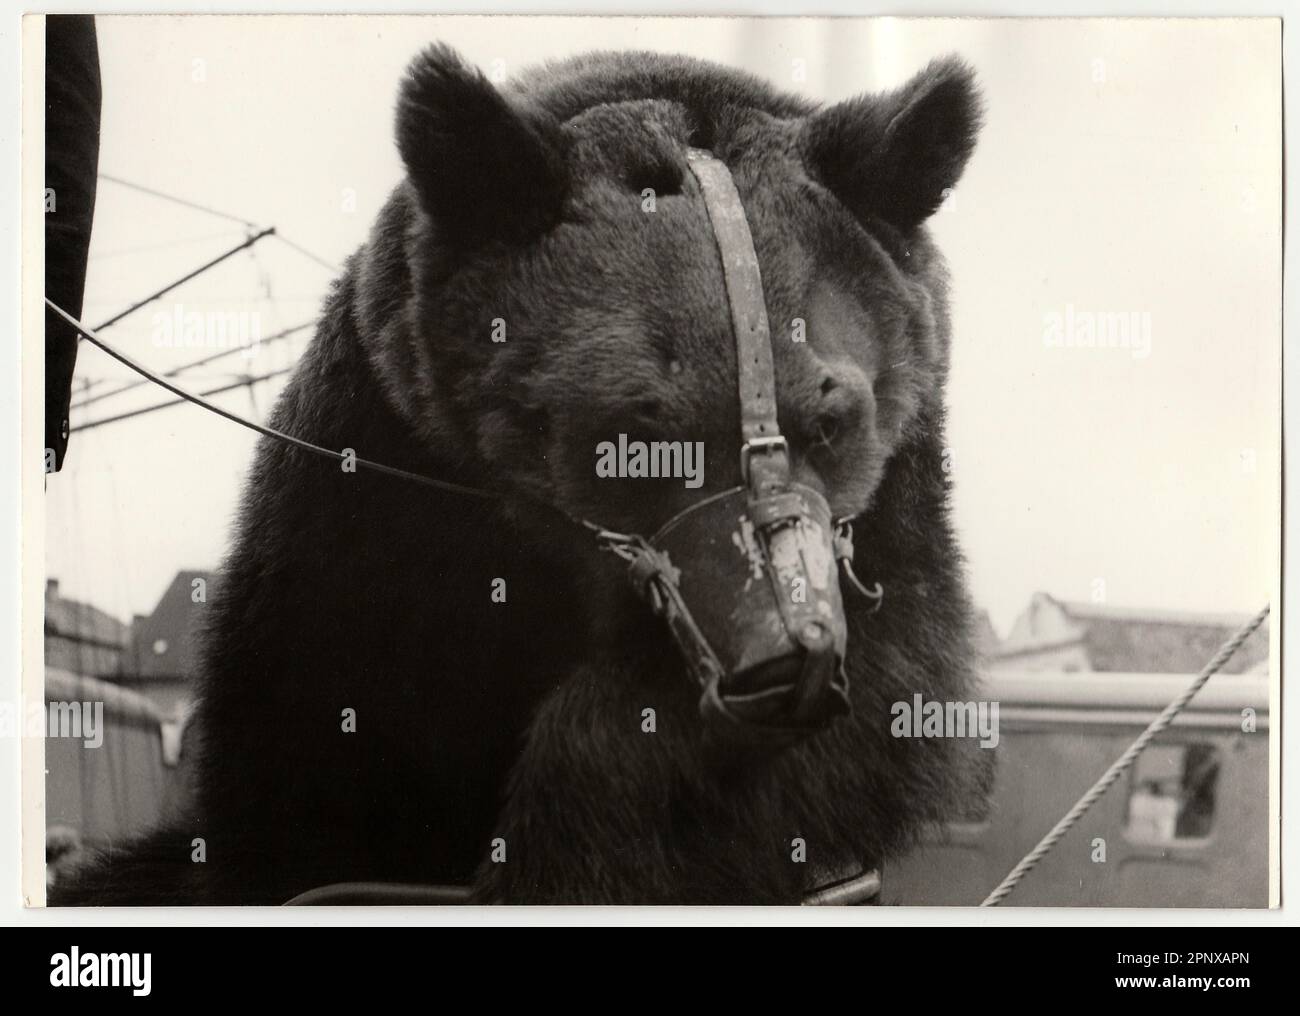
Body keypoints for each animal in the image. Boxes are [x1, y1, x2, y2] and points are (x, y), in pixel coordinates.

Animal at [54, 43, 990, 906]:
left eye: (831, 420)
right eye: (635, 435)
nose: (782, 660)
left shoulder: (896, 495)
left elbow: (880, 694)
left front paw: (570, 847)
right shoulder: (371, 488)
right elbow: (307, 760)